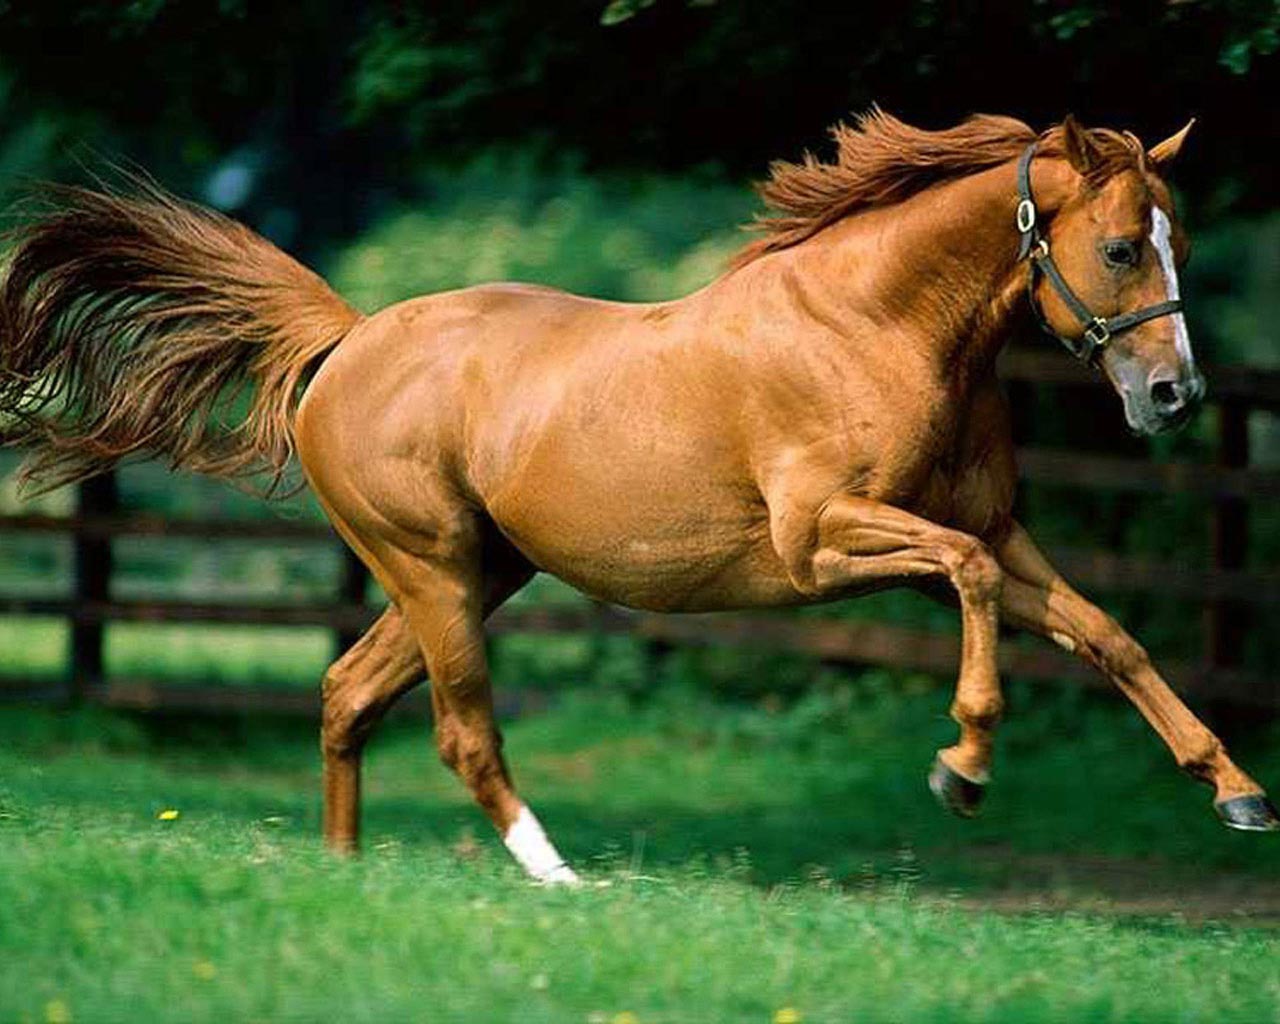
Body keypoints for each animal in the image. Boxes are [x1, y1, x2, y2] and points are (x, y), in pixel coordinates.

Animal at [2, 110, 1275, 886]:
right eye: (1119, 248)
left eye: (1176, 236)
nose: (1173, 395)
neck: (873, 325)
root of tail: (351, 338)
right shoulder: (824, 545)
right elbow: (967, 589)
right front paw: (959, 769)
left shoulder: (993, 532)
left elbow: (1107, 634)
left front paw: (1237, 794)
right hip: (430, 569)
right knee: (460, 729)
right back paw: (557, 875)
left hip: (478, 571)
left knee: (345, 694)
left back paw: (344, 872)